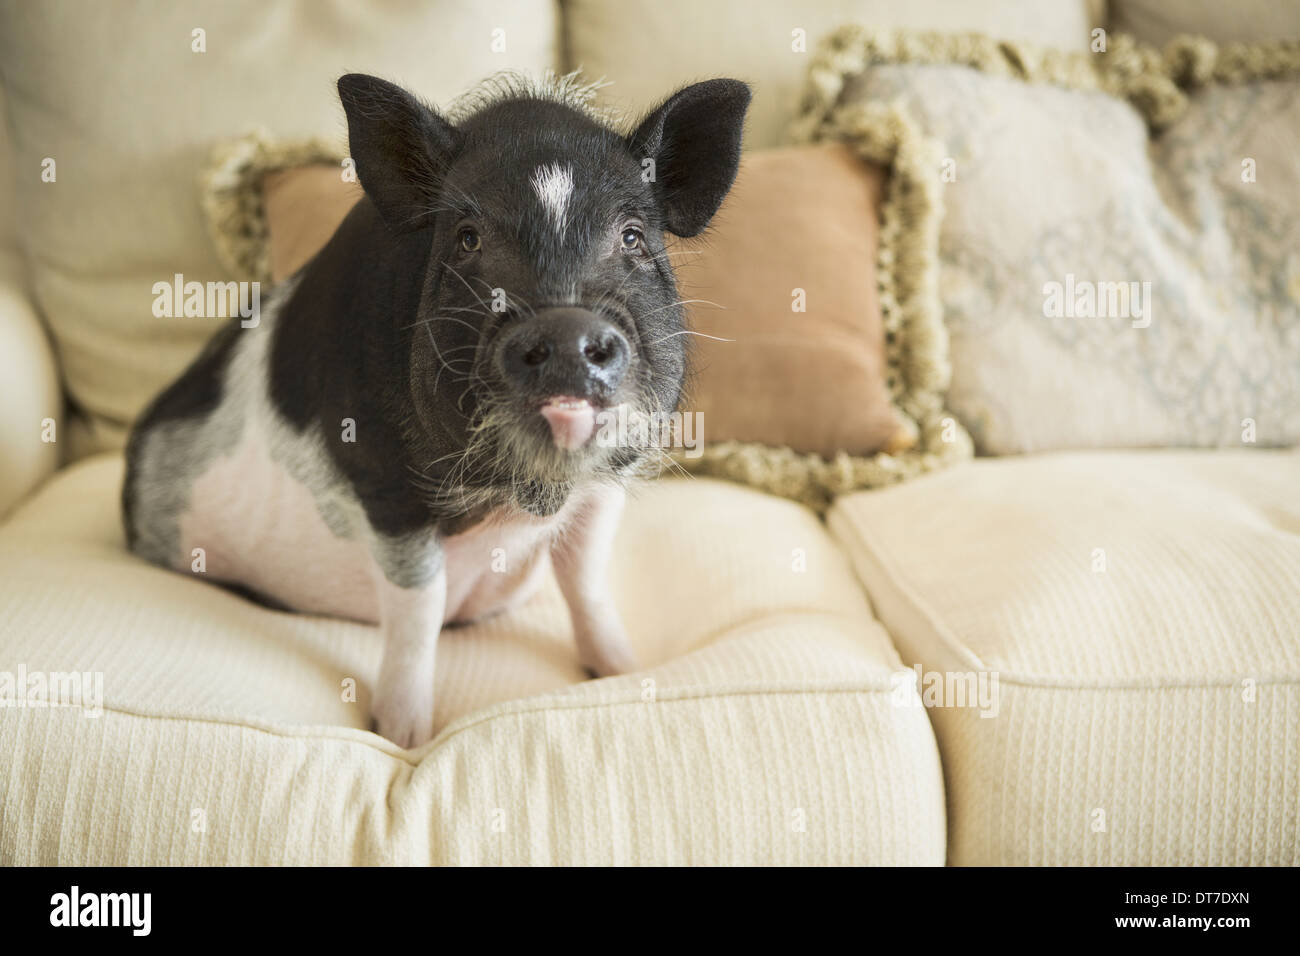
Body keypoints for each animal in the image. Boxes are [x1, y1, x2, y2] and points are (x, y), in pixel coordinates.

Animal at [122, 72, 751, 747]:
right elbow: (418, 606)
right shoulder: (383, 482)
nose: (565, 328)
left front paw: (626, 671)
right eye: (467, 238)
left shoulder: (608, 480)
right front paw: (404, 737)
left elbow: (586, 579)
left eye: (632, 235)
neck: (520, 499)